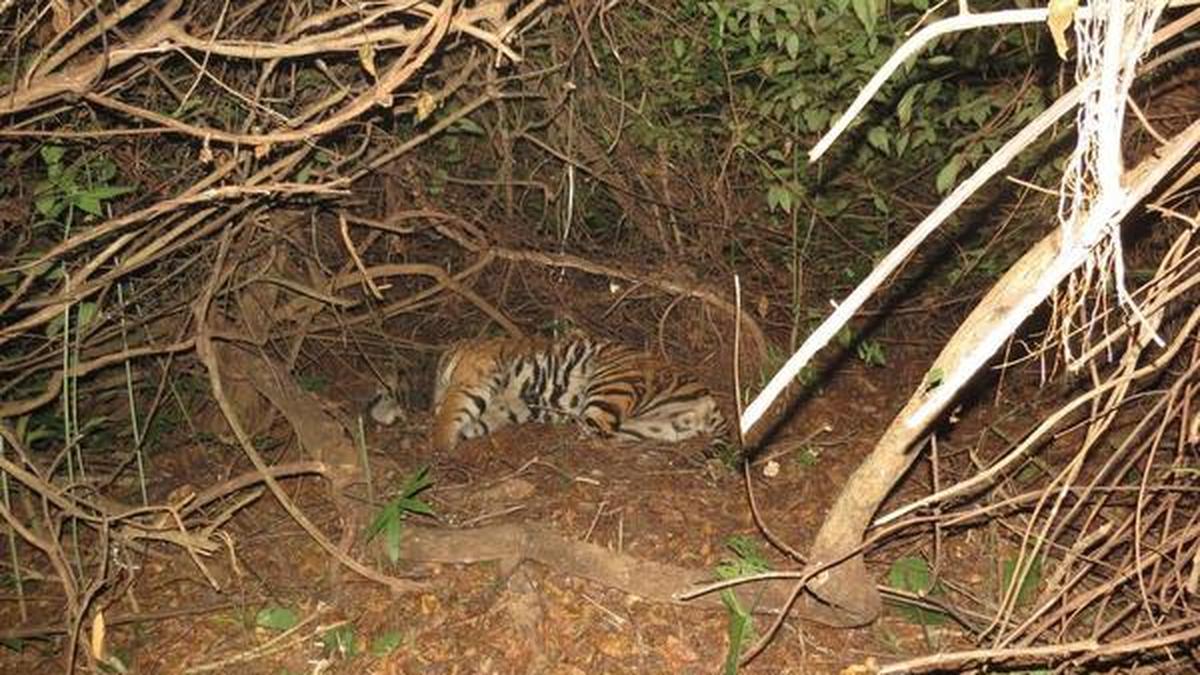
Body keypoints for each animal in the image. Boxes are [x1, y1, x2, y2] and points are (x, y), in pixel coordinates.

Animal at [428, 335, 729, 453]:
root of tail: (708, 395)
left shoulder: (471, 383)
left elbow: (450, 416)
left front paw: (440, 445)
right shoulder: (504, 409)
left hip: (611, 384)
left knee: (593, 431)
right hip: (655, 426)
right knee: (606, 435)